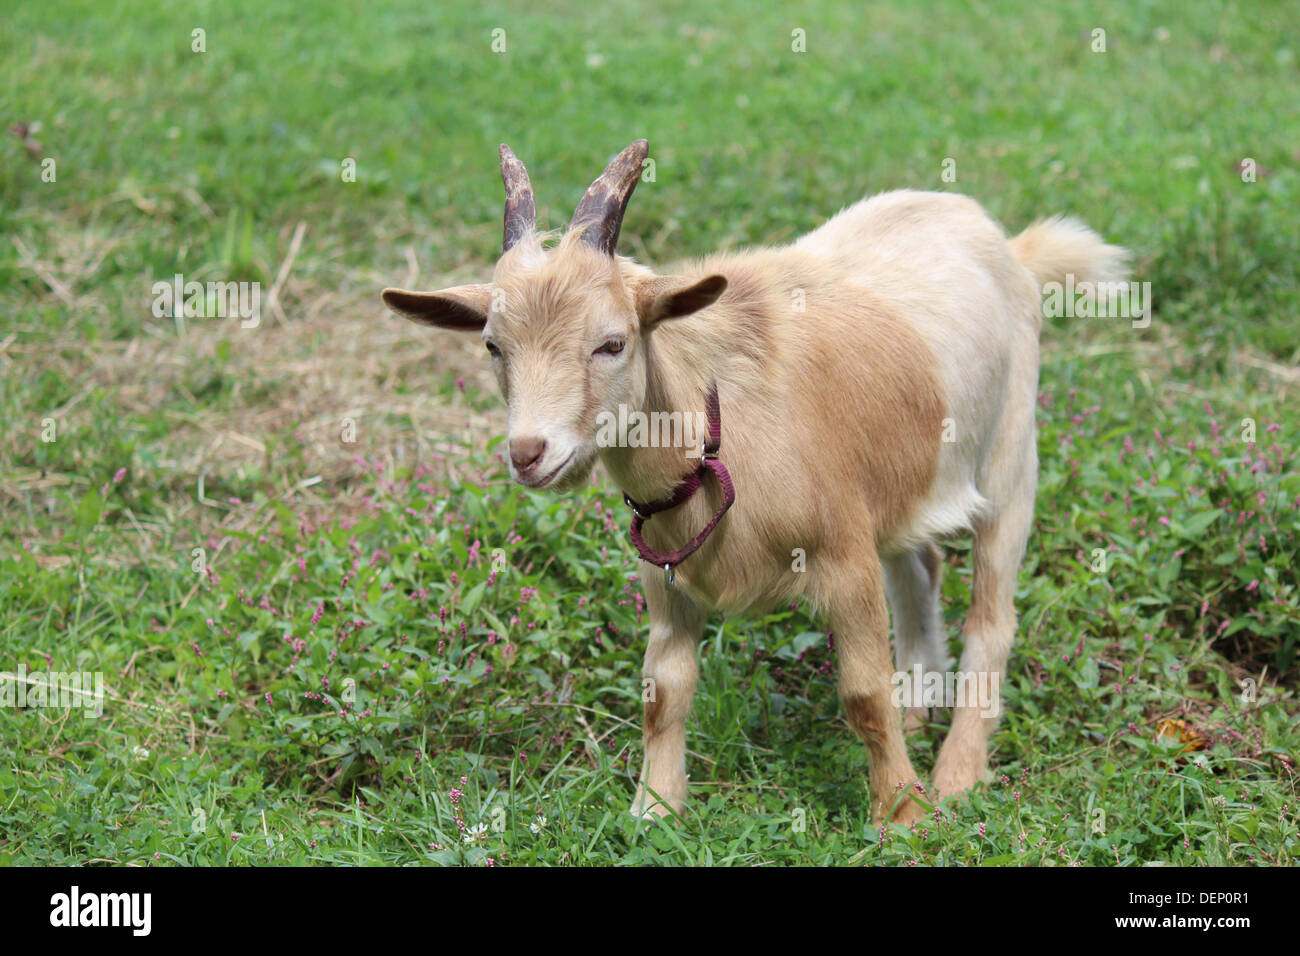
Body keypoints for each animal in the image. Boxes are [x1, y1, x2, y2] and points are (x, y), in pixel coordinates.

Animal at [382, 140, 1128, 823]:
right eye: (492, 345)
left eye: (613, 342)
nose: (529, 453)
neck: (715, 418)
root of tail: (1007, 244)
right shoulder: (665, 575)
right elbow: (663, 690)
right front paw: (654, 812)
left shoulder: (843, 557)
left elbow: (863, 693)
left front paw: (903, 815)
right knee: (920, 569)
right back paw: (919, 712)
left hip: (1010, 458)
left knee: (993, 616)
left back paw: (956, 774)